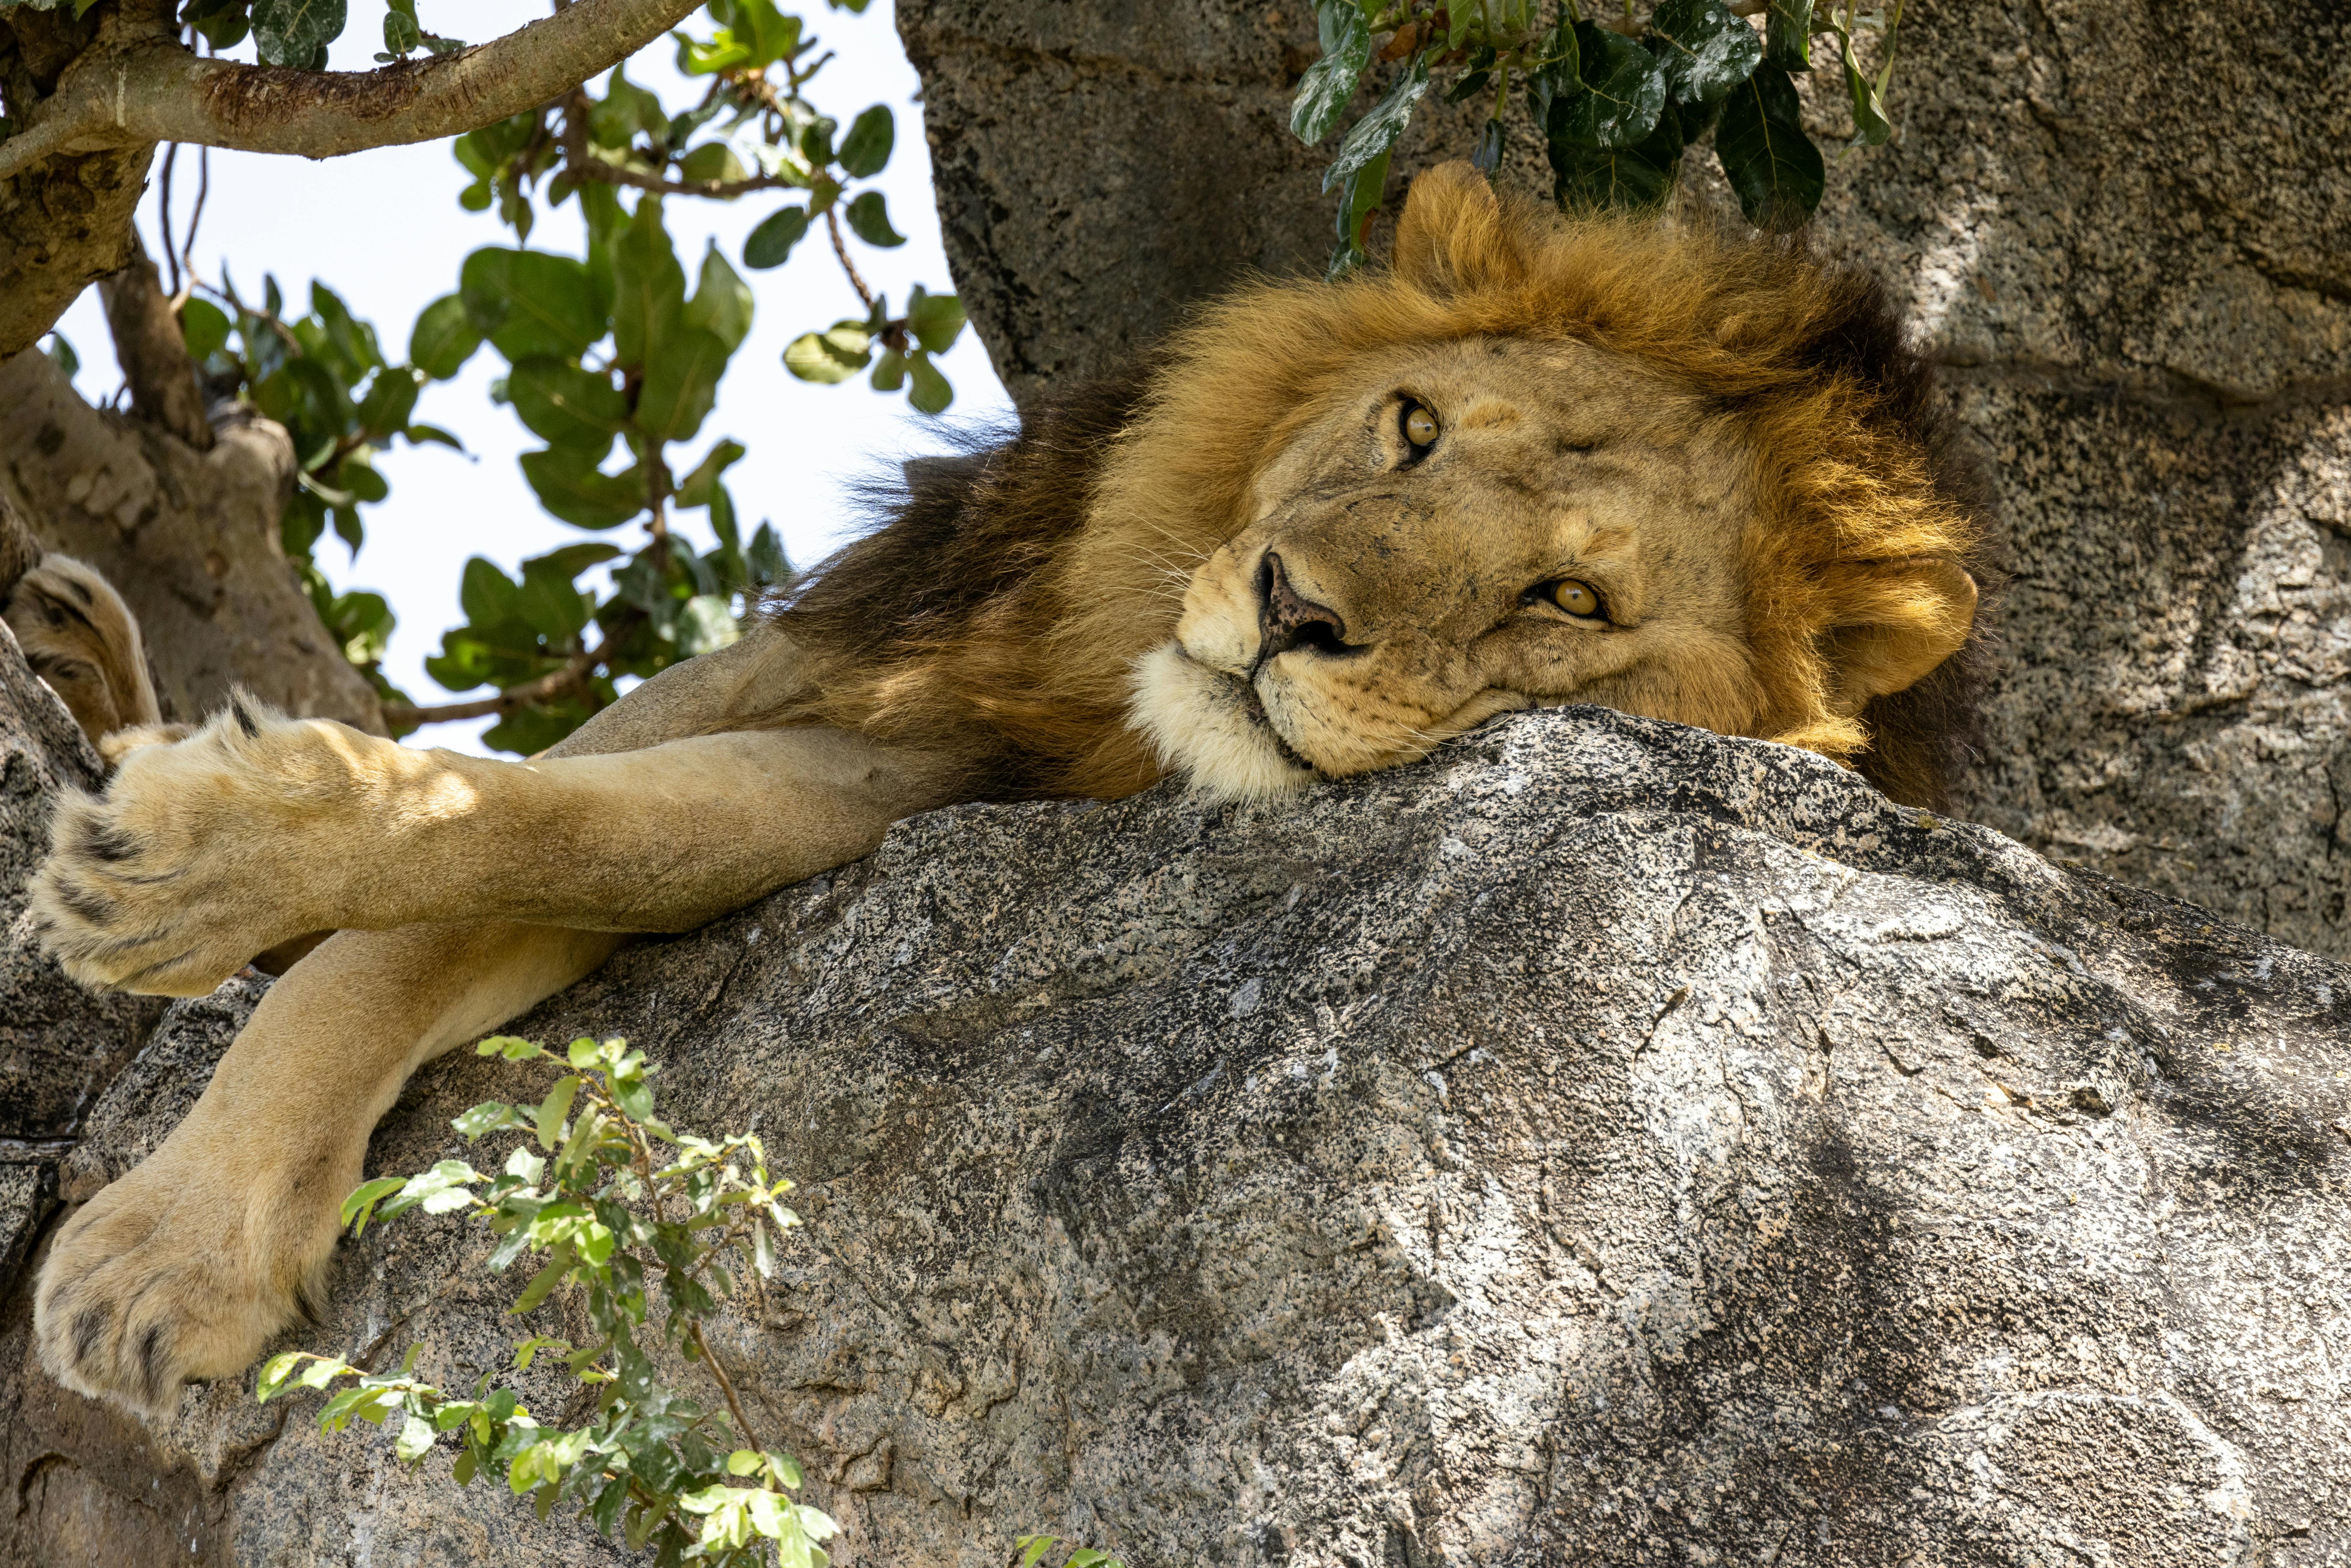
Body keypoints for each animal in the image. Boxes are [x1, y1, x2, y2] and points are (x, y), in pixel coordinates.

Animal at [21, 164, 1992, 1416]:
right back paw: (88, 680)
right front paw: (178, 1111)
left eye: (1566, 601)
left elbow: (566, 834)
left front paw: (168, 1221)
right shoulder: (880, 662)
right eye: (1415, 428)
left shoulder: (910, 778)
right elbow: (445, 858)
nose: (1286, 606)